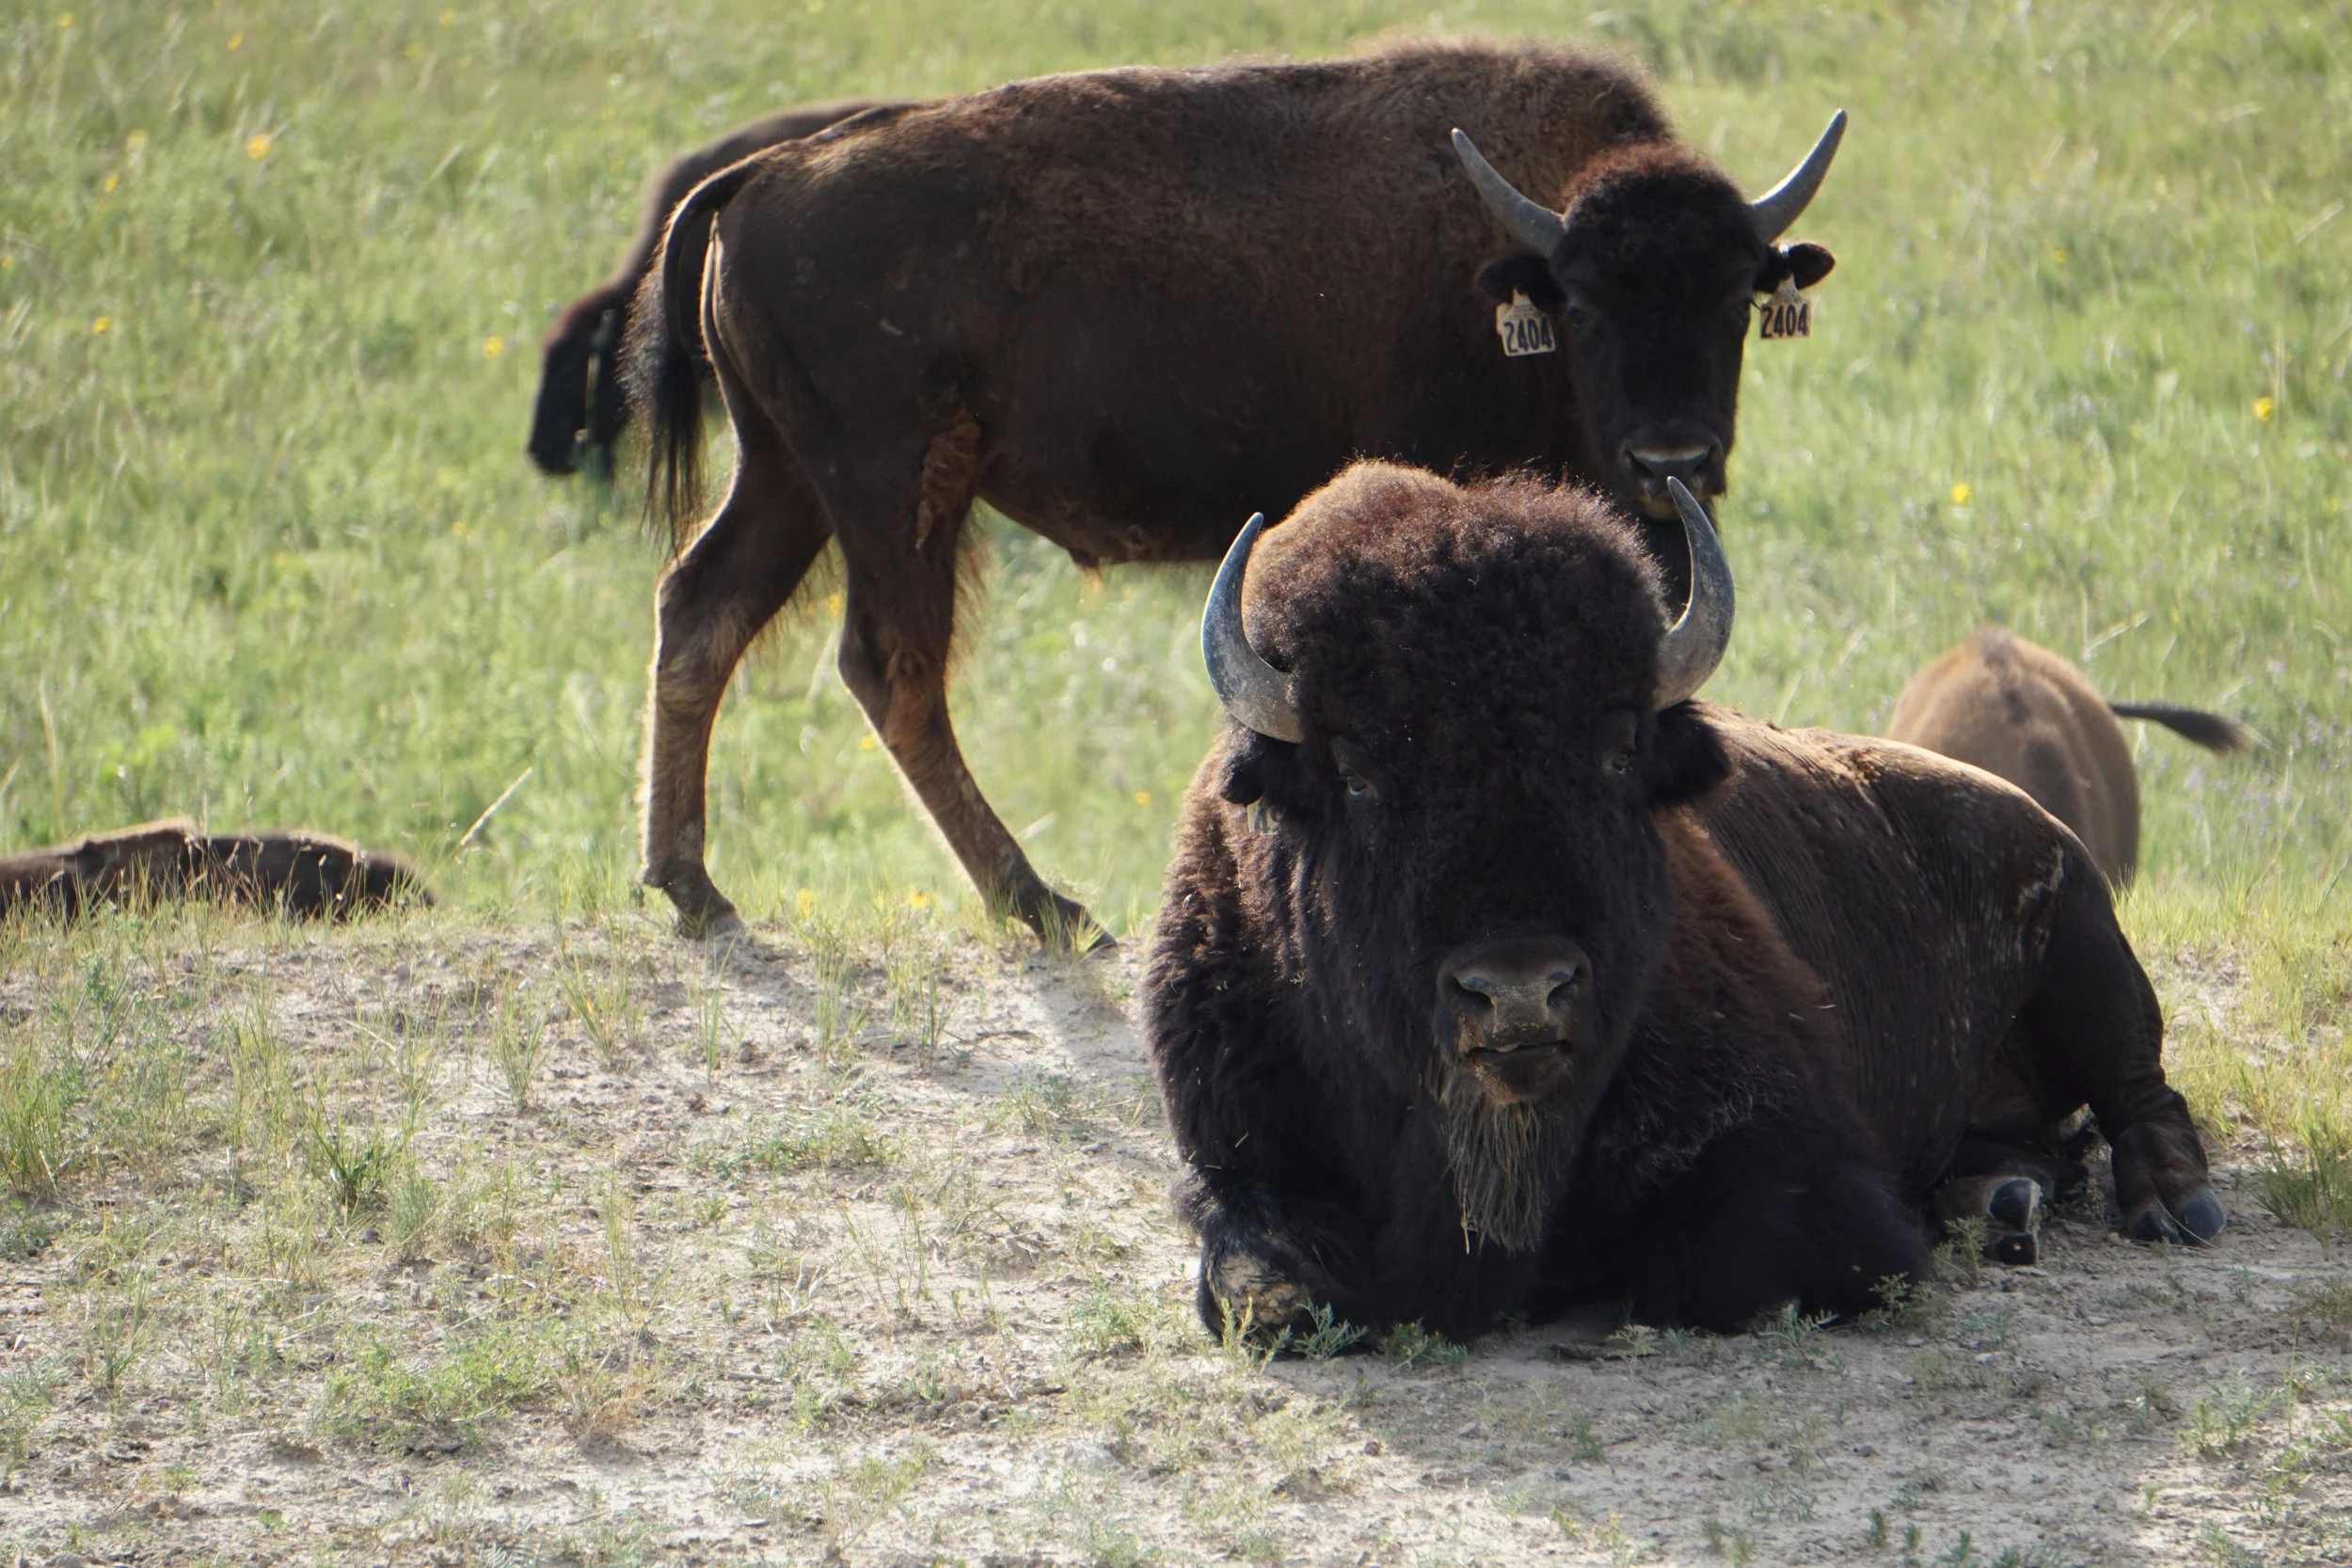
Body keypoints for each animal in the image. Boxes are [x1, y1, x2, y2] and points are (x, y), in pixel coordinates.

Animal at [627, 40, 1846, 942]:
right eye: (1584, 303)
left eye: (1737, 299)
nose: (1671, 460)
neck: (1510, 270)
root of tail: (763, 178)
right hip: (892, 497)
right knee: (890, 671)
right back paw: (1048, 906)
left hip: (787, 479)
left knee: (700, 612)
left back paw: (696, 891)